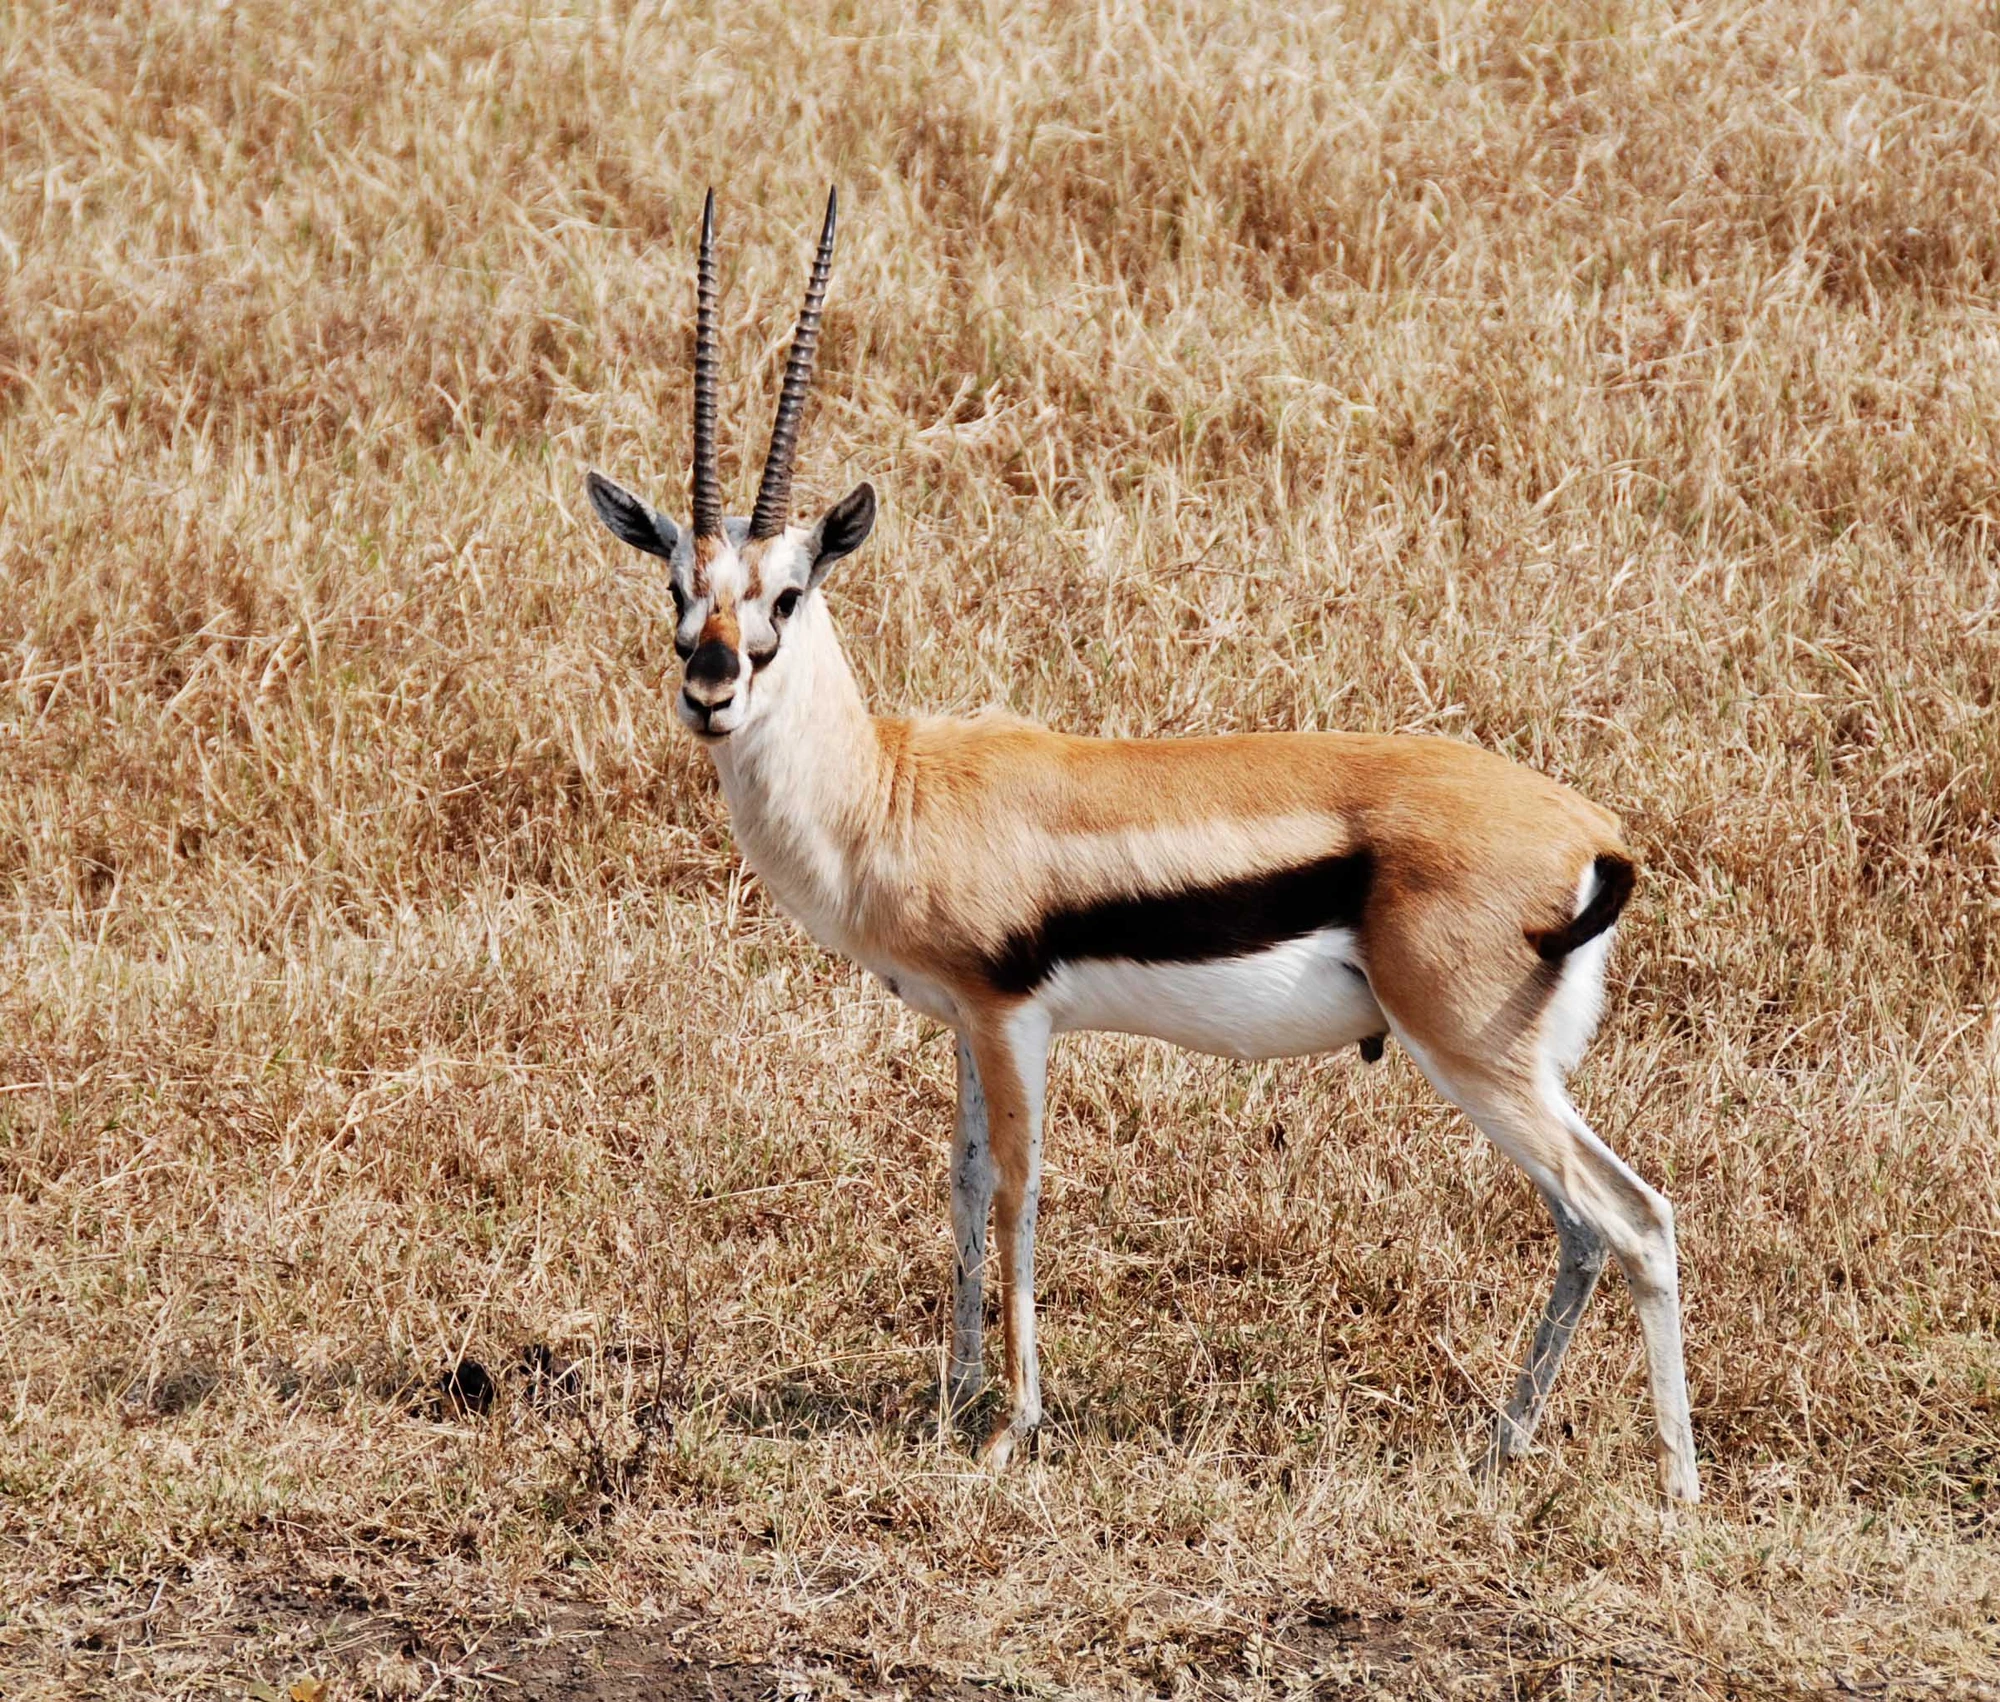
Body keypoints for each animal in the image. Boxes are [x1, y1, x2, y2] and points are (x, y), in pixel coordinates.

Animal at [584, 188, 1701, 1503]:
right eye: (675, 585)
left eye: (789, 593)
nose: (710, 687)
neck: (890, 787)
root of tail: (1592, 836)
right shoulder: (963, 1023)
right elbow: (962, 1185)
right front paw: (951, 1398)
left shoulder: (1011, 1017)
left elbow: (1019, 1193)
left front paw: (1013, 1425)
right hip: (1515, 1069)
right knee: (1589, 1225)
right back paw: (1502, 1442)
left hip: (1474, 1057)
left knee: (1633, 1218)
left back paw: (1674, 1489)